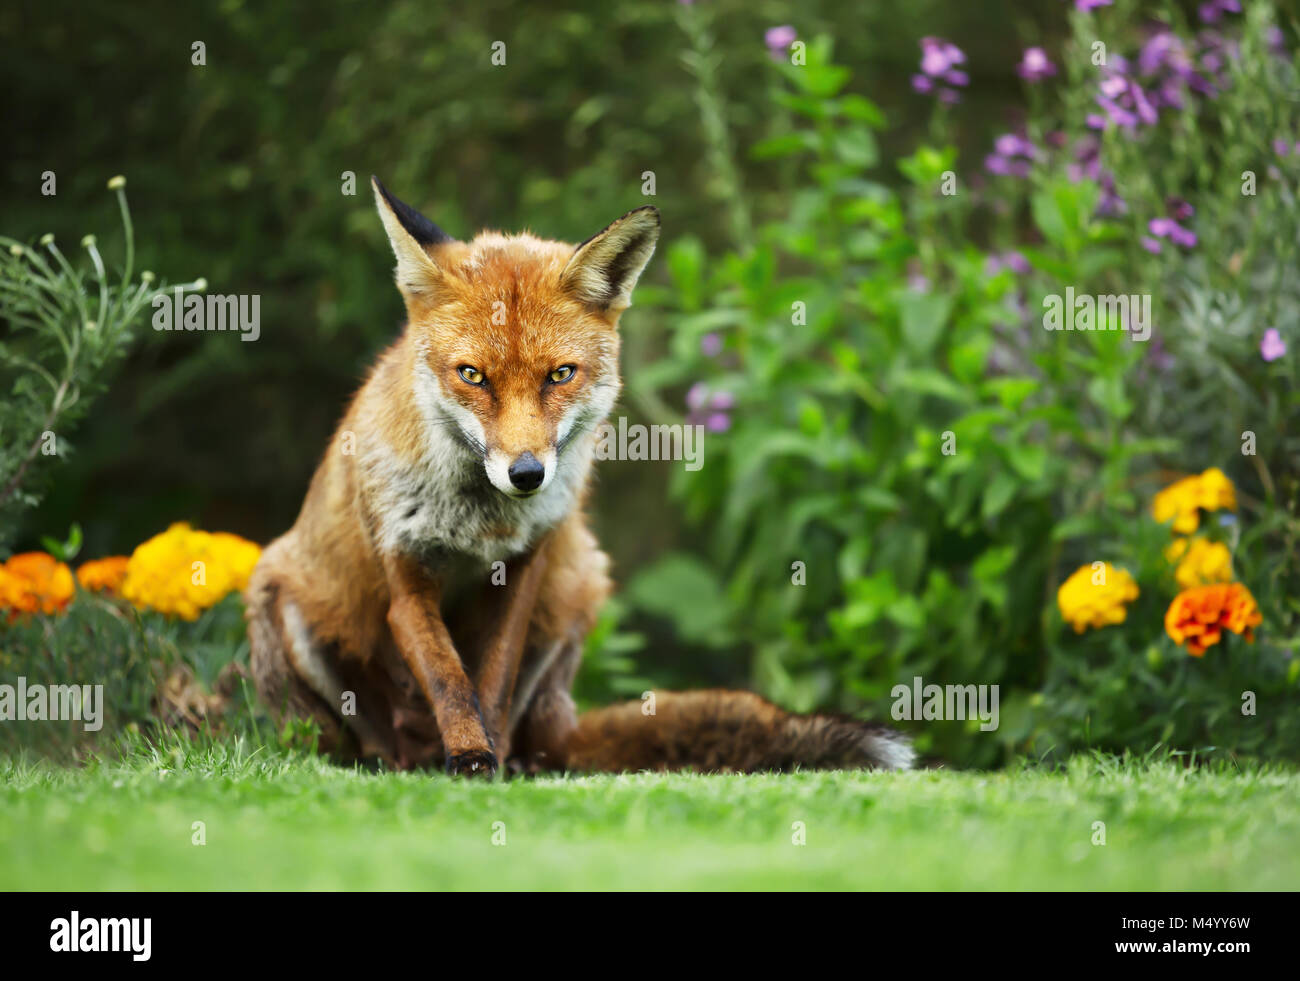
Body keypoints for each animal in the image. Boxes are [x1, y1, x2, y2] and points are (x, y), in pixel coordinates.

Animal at [244, 176, 914, 777]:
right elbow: (450, 680)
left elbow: (491, 680)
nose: (527, 474)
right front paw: (470, 755)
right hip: (282, 595)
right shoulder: (405, 576)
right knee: (370, 739)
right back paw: (400, 760)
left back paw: (523, 762)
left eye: (560, 375)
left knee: (541, 735)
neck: (480, 521)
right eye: (472, 376)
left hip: (579, 586)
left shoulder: (524, 569)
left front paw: (489, 759)